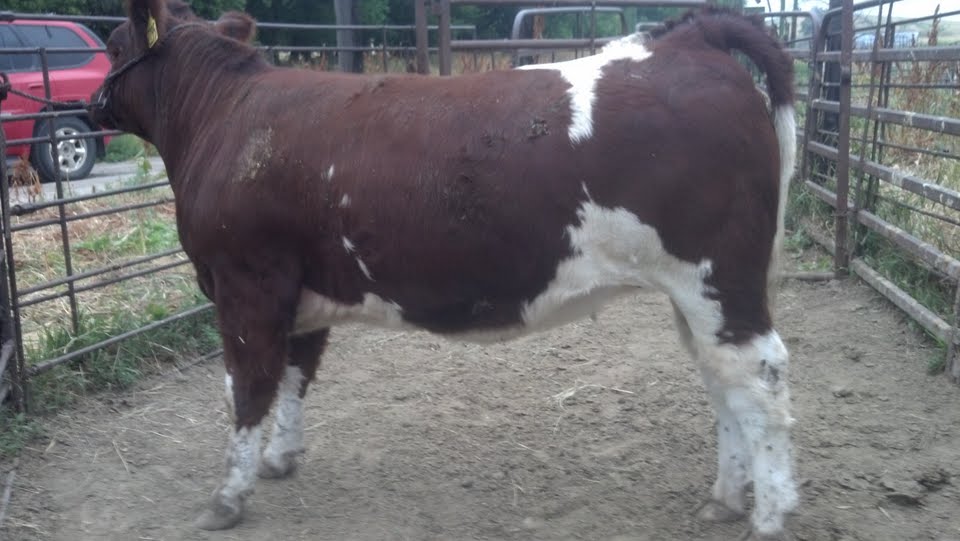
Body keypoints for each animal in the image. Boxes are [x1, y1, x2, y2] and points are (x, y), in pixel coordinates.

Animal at [91, 1, 799, 539]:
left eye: (113, 41)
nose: (88, 109)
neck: (228, 116)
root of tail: (688, 40)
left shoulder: (244, 283)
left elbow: (247, 387)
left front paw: (227, 497)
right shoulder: (302, 289)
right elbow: (296, 373)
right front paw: (279, 458)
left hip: (718, 277)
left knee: (761, 381)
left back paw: (770, 515)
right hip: (698, 293)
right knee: (722, 380)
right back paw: (725, 499)